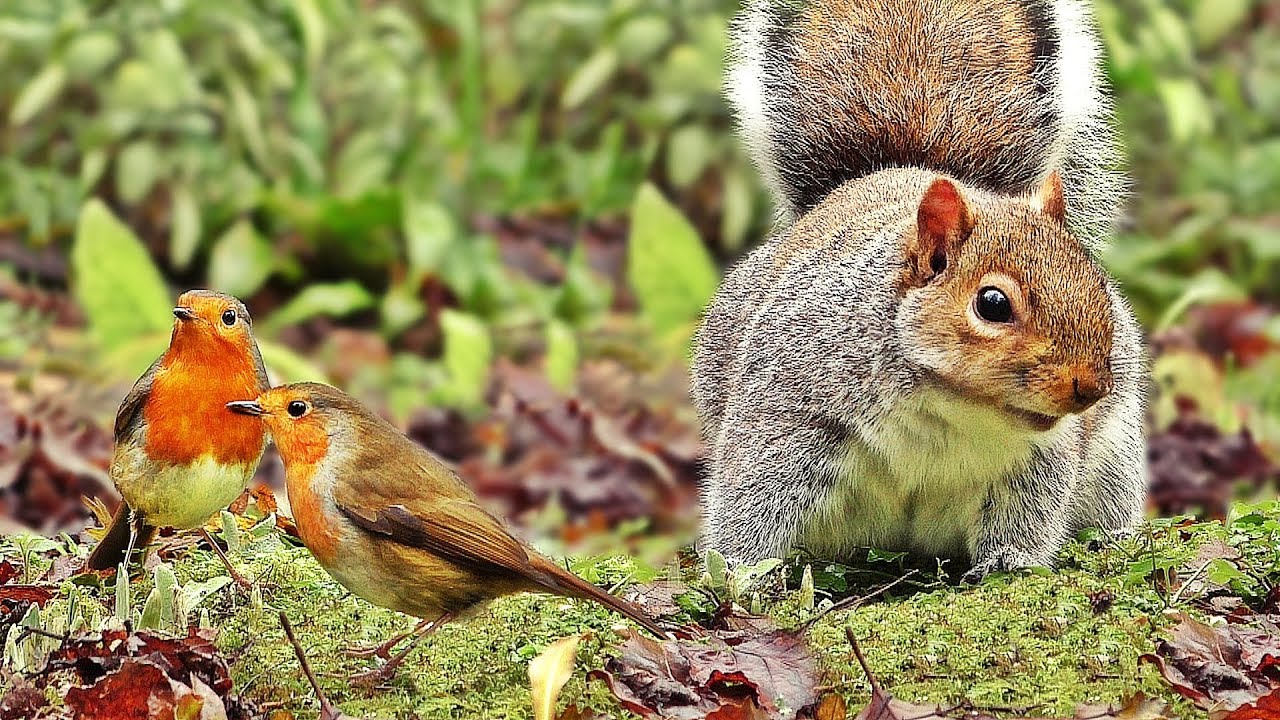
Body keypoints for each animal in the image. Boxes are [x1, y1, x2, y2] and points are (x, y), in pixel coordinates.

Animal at [692, 0, 1148, 579]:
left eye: (1096, 282)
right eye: (993, 304)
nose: (1090, 390)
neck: (949, 408)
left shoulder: (1041, 457)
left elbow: (1028, 512)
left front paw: (1010, 563)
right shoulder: (790, 409)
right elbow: (752, 495)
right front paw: (742, 574)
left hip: (1115, 454)